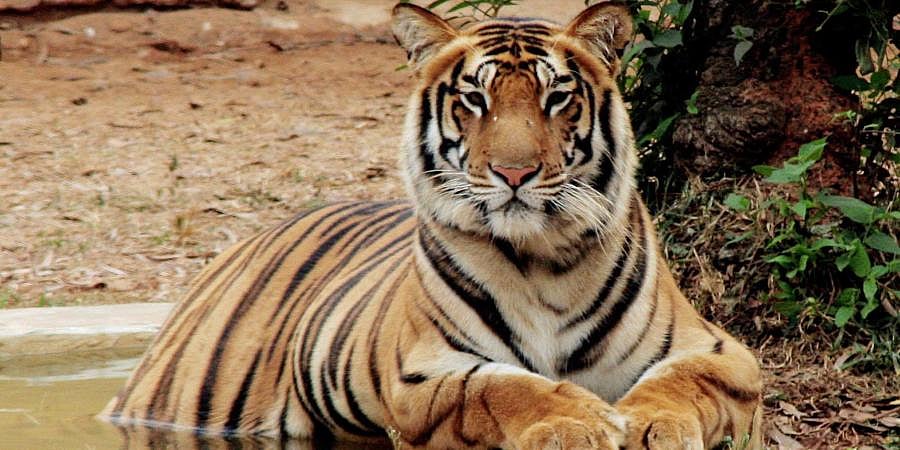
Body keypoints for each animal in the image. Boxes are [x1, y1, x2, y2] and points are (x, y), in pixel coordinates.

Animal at [100, 2, 764, 449]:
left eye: (556, 98)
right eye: (474, 99)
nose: (514, 172)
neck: (543, 257)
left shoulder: (723, 352)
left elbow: (680, 383)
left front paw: (654, 423)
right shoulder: (423, 375)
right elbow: (504, 387)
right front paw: (576, 421)